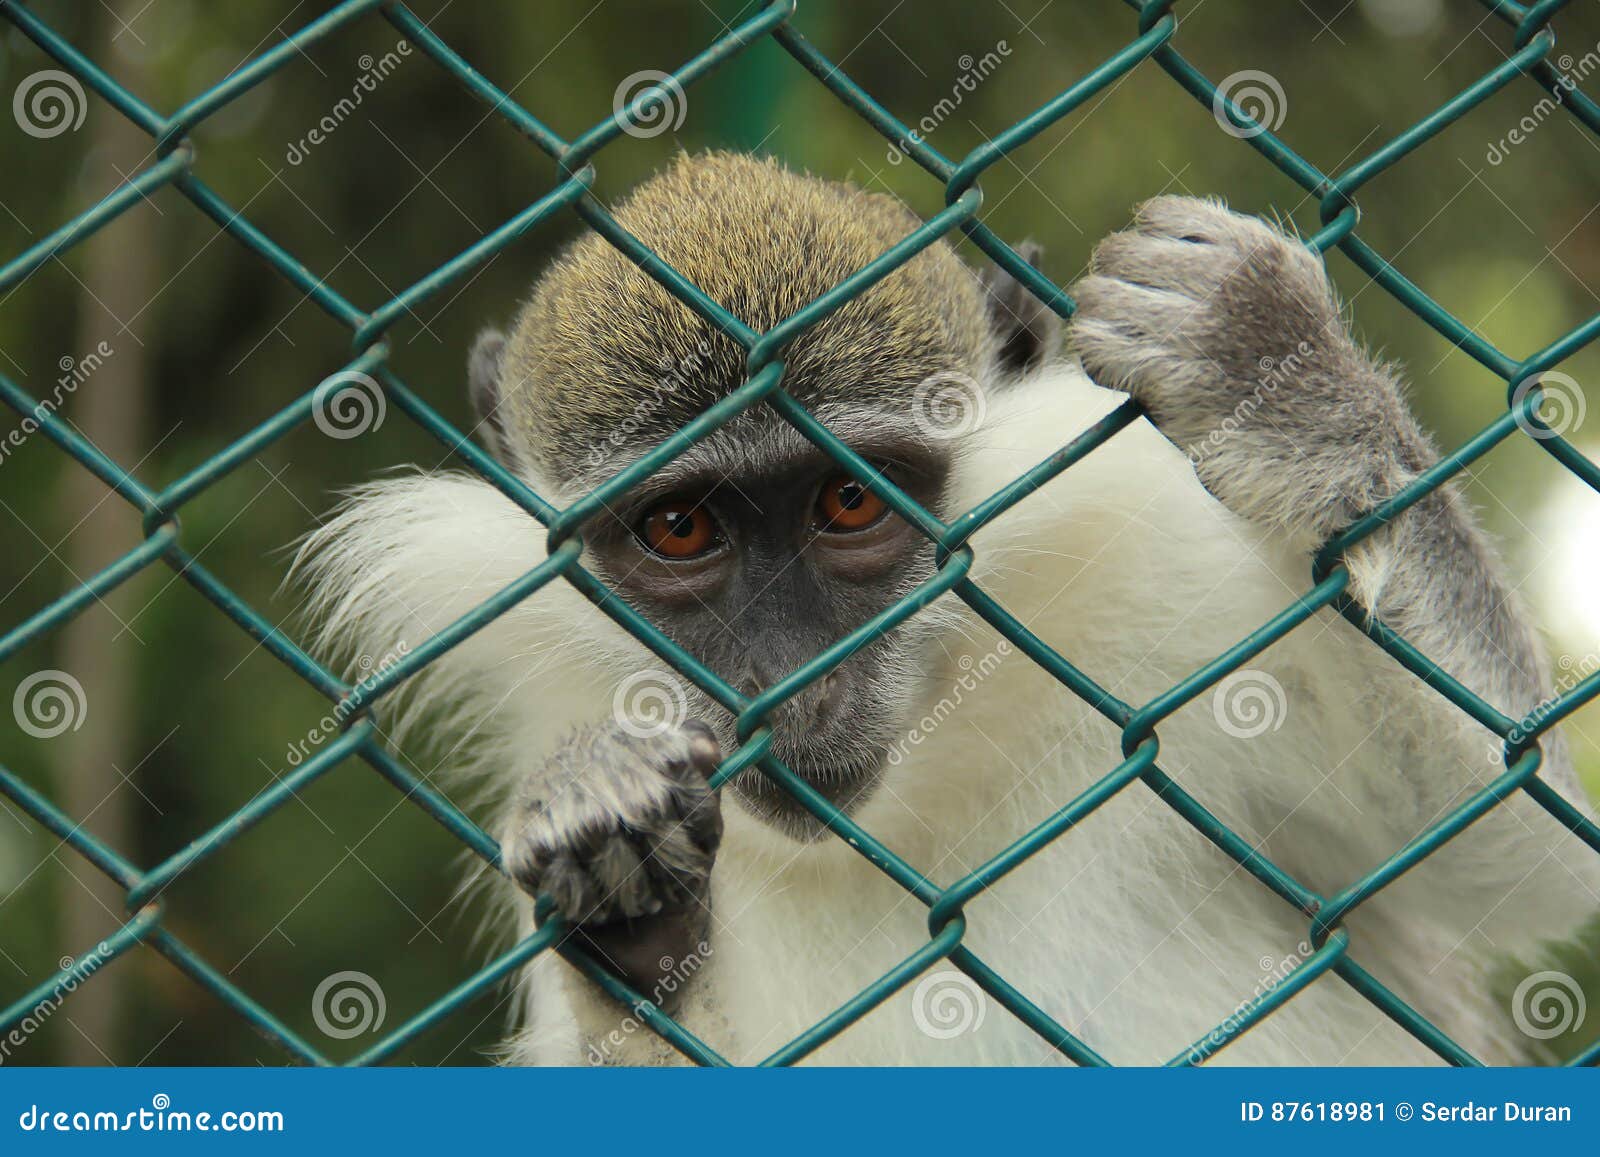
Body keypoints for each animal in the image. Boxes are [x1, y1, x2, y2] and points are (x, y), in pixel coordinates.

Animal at [296, 151, 1599, 1066]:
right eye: (679, 529)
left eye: (846, 499)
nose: (790, 679)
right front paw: (620, 869)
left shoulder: (1179, 608)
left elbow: (1516, 853)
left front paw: (1280, 374)